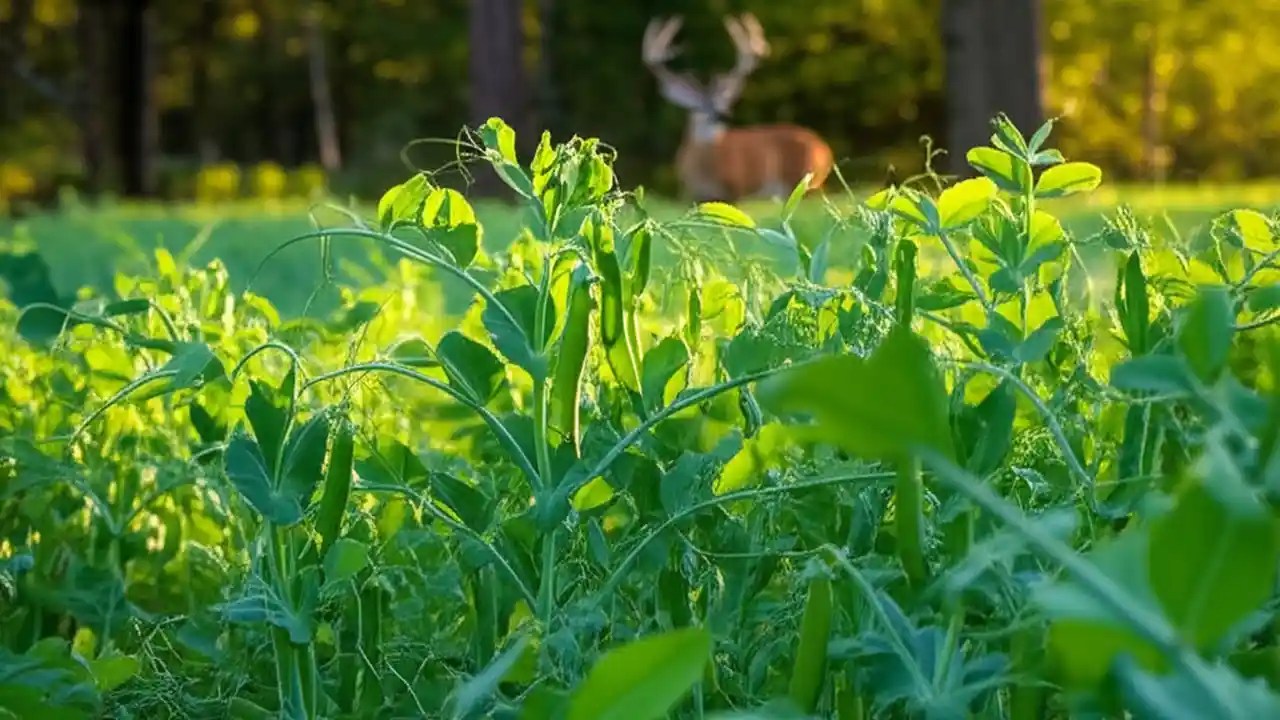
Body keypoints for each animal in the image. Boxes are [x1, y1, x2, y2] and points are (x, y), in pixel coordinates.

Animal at [642, 13, 835, 204]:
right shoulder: (689, 193)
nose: (723, 115)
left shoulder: (736, 188)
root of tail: (824, 148)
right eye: (697, 107)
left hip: (803, 179)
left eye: (724, 102)